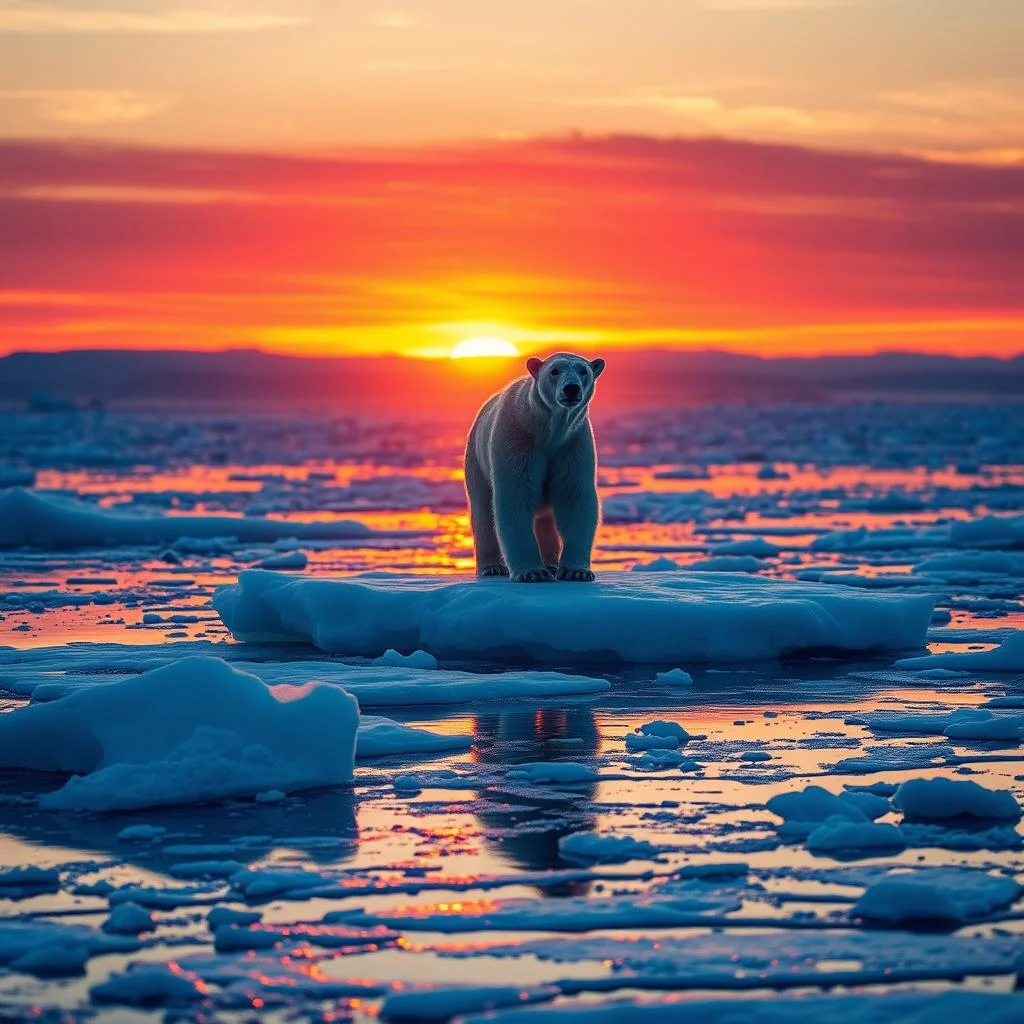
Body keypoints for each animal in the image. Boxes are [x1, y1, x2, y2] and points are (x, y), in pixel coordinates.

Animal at [464, 351, 606, 582]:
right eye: (554, 371)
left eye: (583, 370)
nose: (571, 388)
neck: (546, 430)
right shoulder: (517, 440)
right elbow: (515, 496)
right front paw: (532, 573)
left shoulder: (572, 444)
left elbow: (573, 494)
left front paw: (576, 571)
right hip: (476, 461)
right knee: (483, 512)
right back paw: (492, 567)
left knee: (545, 519)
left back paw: (551, 564)